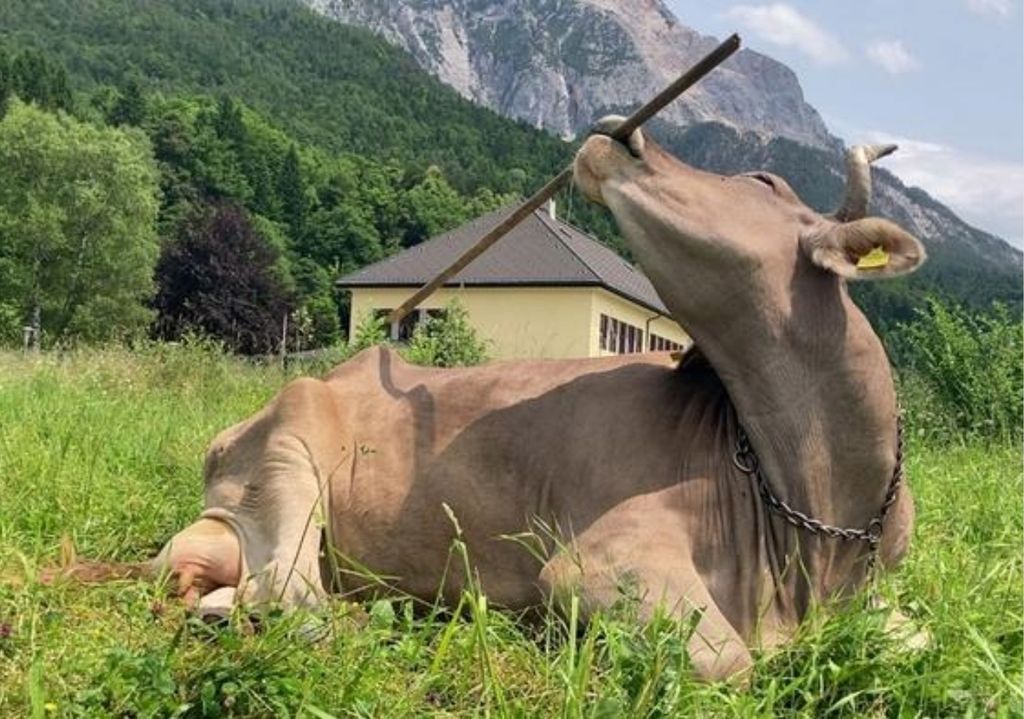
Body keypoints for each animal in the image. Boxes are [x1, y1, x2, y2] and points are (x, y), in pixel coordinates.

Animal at [54, 118, 925, 681]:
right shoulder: (596, 561)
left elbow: (913, 642)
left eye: (760, 180)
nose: (619, 130)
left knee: (241, 590)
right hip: (287, 459)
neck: (816, 518)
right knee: (293, 598)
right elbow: (731, 661)